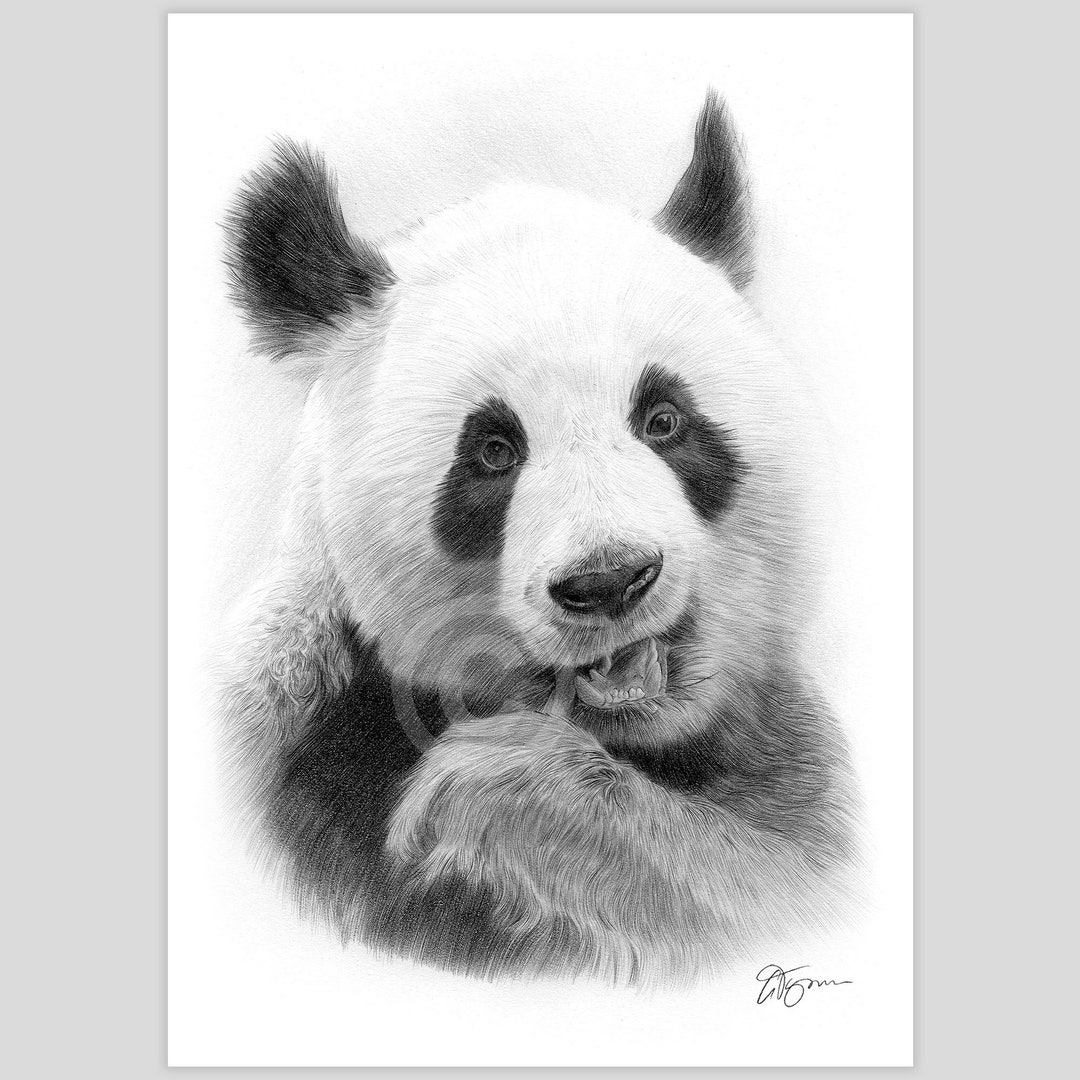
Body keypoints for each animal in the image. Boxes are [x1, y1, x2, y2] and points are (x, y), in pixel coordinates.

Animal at [219, 91, 862, 988]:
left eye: (664, 419)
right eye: (493, 451)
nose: (611, 580)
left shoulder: (786, 761)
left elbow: (766, 889)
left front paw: (493, 791)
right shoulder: (283, 720)